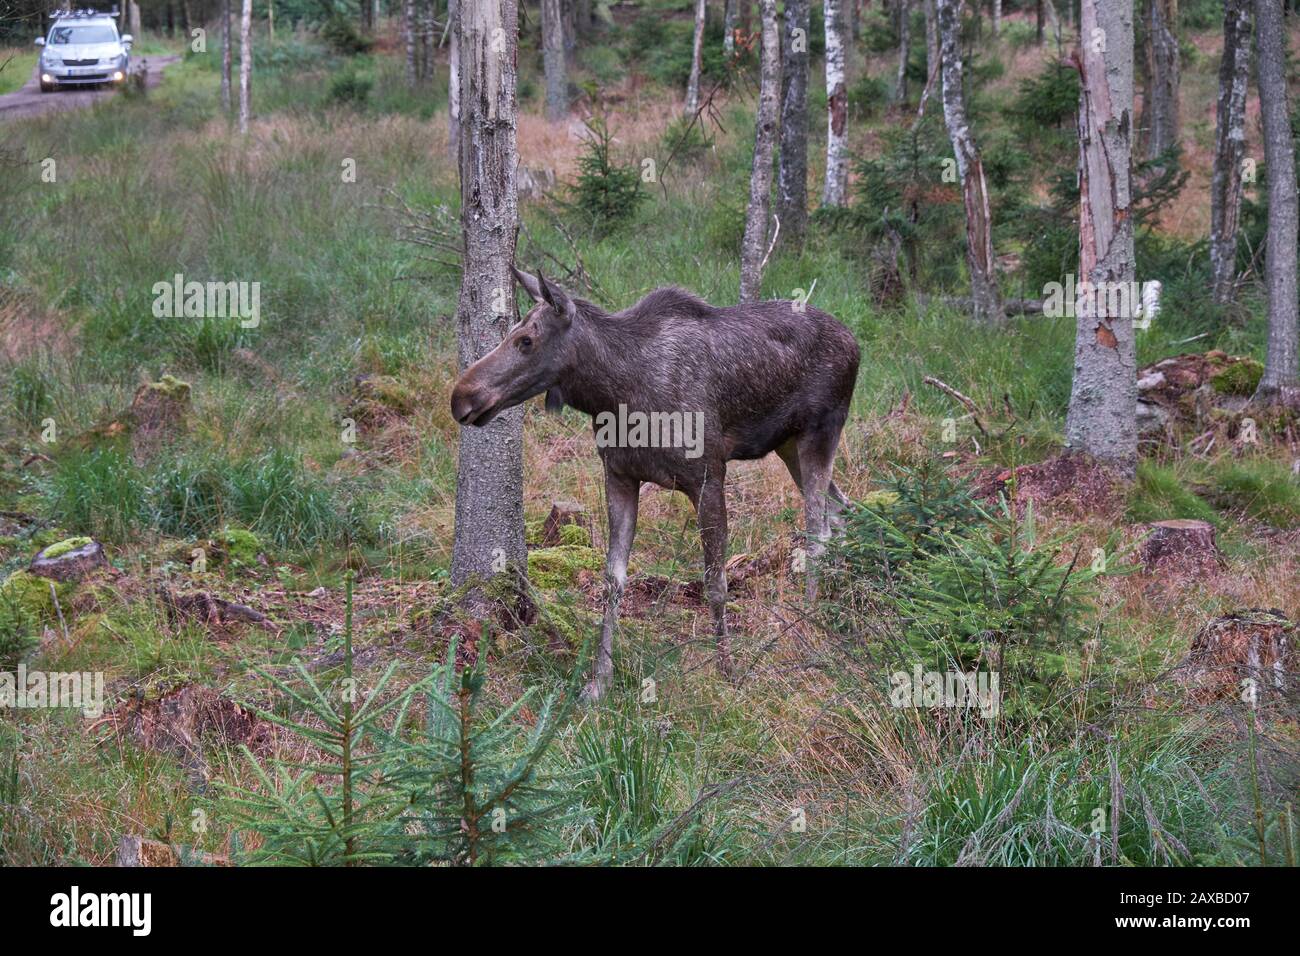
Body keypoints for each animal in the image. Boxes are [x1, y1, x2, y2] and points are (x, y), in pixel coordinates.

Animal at [450, 269, 860, 700]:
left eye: (526, 340)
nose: (461, 397)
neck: (617, 394)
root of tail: (855, 341)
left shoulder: (708, 476)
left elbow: (716, 582)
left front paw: (727, 672)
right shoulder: (620, 476)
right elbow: (613, 581)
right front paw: (599, 682)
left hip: (820, 432)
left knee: (817, 530)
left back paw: (809, 626)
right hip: (787, 445)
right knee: (841, 510)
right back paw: (839, 600)